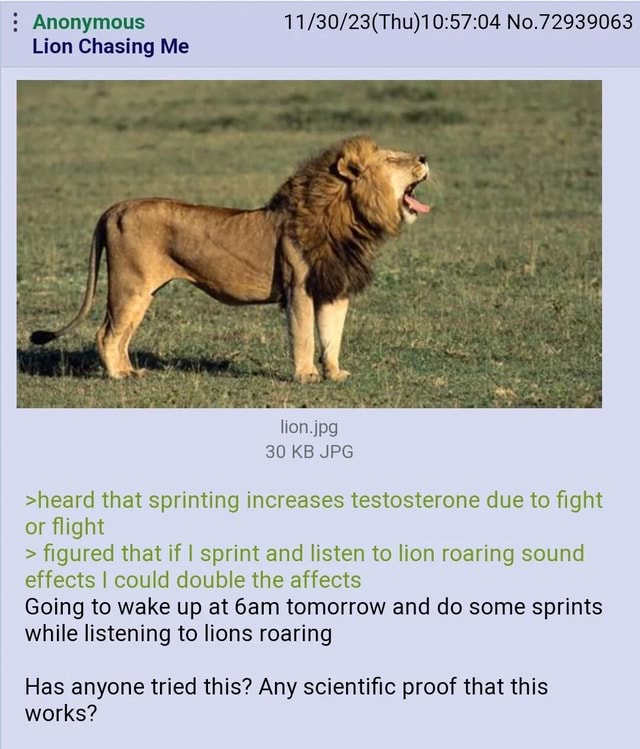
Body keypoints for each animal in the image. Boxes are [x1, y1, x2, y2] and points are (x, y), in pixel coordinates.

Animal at [30, 136, 430, 382]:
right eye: (393, 158)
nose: (425, 157)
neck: (349, 219)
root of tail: (115, 207)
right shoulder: (299, 288)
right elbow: (303, 335)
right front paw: (306, 376)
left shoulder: (334, 288)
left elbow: (332, 336)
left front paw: (334, 374)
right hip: (130, 286)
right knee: (106, 333)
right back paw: (118, 376)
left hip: (144, 291)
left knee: (122, 334)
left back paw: (131, 371)